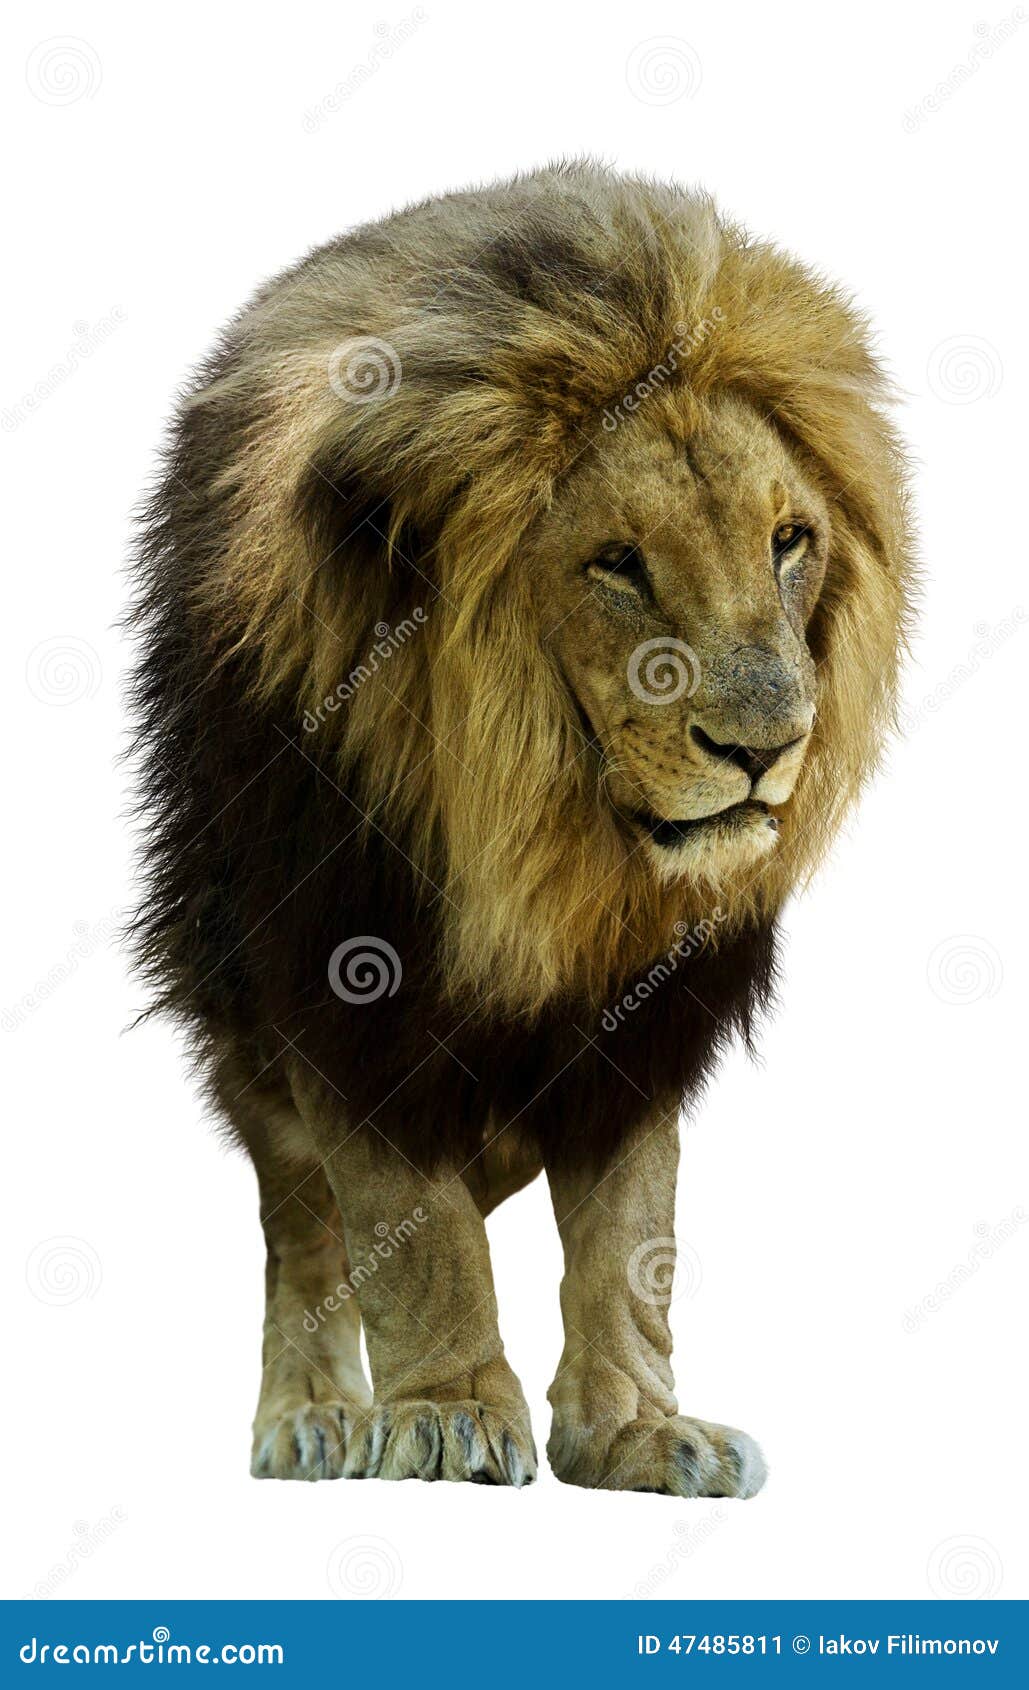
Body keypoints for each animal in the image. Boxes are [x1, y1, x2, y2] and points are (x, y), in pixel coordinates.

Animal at [129, 162, 913, 1494]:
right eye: (617, 564)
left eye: (789, 541)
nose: (768, 747)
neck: (551, 846)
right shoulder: (348, 972)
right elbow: (414, 1225)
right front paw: (446, 1410)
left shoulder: (656, 1007)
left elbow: (631, 1234)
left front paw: (637, 1428)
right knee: (302, 1220)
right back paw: (314, 1412)